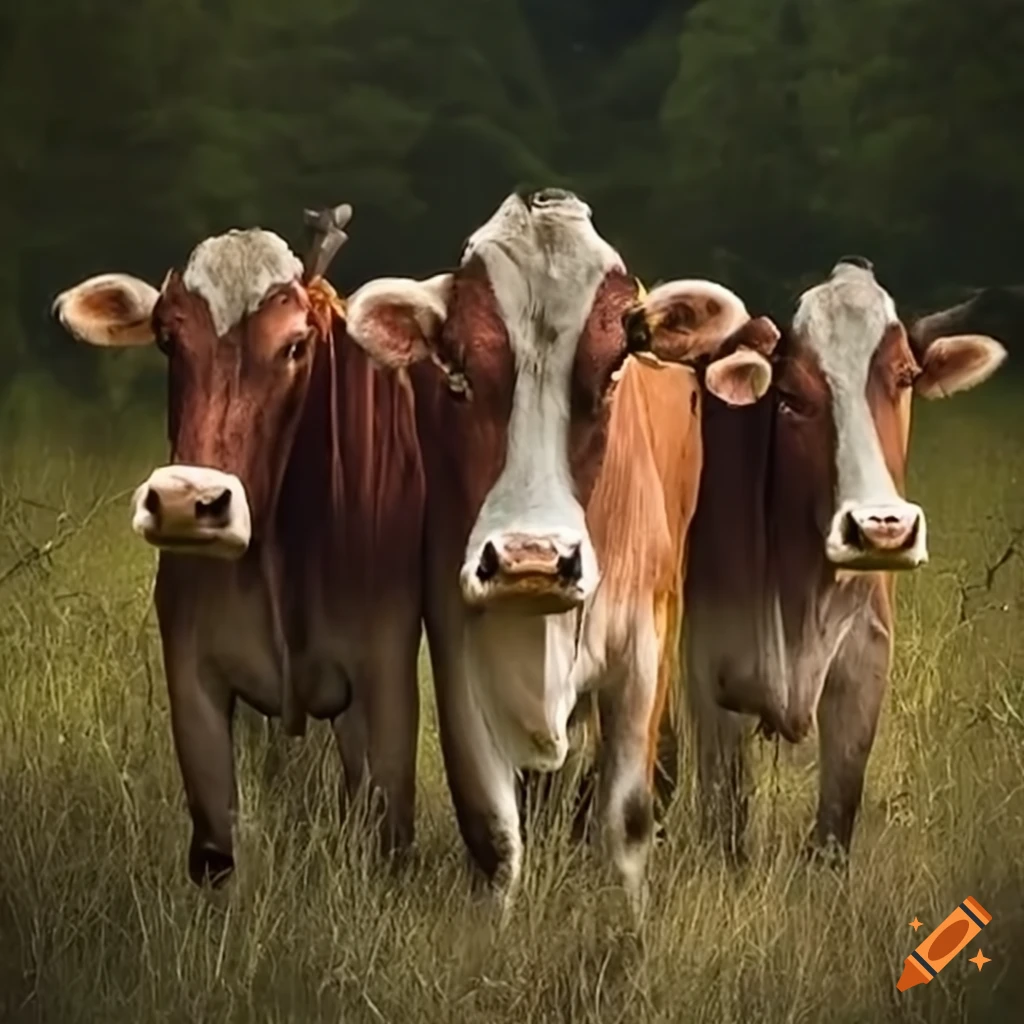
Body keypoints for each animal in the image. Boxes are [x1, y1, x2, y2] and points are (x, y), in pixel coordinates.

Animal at [51, 207, 425, 887]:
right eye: (167, 339)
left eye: (296, 345)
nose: (184, 502)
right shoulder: (191, 670)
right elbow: (214, 850)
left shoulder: (385, 669)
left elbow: (390, 833)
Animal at [337, 187, 779, 912]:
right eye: (457, 375)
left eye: (614, 367)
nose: (532, 559)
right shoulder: (457, 648)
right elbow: (493, 829)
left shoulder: (643, 647)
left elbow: (625, 817)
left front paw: (628, 925)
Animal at [644, 255, 1008, 865]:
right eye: (789, 395)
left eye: (906, 375)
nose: (882, 528)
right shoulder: (712, 669)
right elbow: (726, 820)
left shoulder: (865, 661)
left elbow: (836, 818)